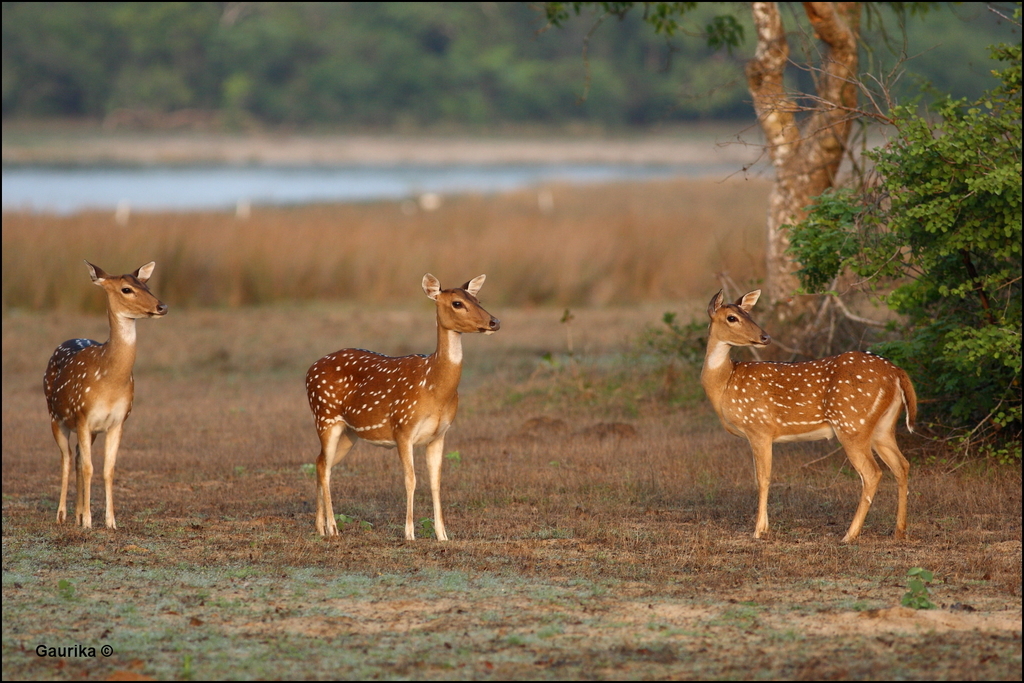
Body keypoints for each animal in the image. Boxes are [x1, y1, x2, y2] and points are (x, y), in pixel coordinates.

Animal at [44, 261, 168, 529]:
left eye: (147, 285)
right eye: (126, 289)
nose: (162, 306)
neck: (109, 382)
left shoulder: (118, 421)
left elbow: (107, 469)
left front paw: (110, 522)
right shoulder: (82, 415)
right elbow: (90, 467)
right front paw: (90, 521)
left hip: (87, 430)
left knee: (77, 457)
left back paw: (77, 514)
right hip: (55, 416)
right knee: (66, 458)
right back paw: (62, 515)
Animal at [306, 274, 500, 541]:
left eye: (479, 299)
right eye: (457, 303)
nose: (494, 322)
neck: (434, 387)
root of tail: (309, 370)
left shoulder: (439, 434)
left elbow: (435, 482)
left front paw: (442, 535)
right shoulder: (402, 427)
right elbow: (411, 479)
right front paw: (409, 533)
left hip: (349, 433)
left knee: (320, 462)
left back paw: (320, 527)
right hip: (325, 416)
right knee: (324, 467)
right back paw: (333, 528)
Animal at [701, 290, 916, 542]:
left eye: (748, 314)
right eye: (732, 317)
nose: (765, 337)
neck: (726, 383)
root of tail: (897, 372)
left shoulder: (759, 427)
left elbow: (762, 479)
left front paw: (758, 531)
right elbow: (764, 478)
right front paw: (765, 527)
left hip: (852, 423)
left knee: (872, 473)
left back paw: (849, 535)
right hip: (883, 427)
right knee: (902, 465)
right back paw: (899, 531)